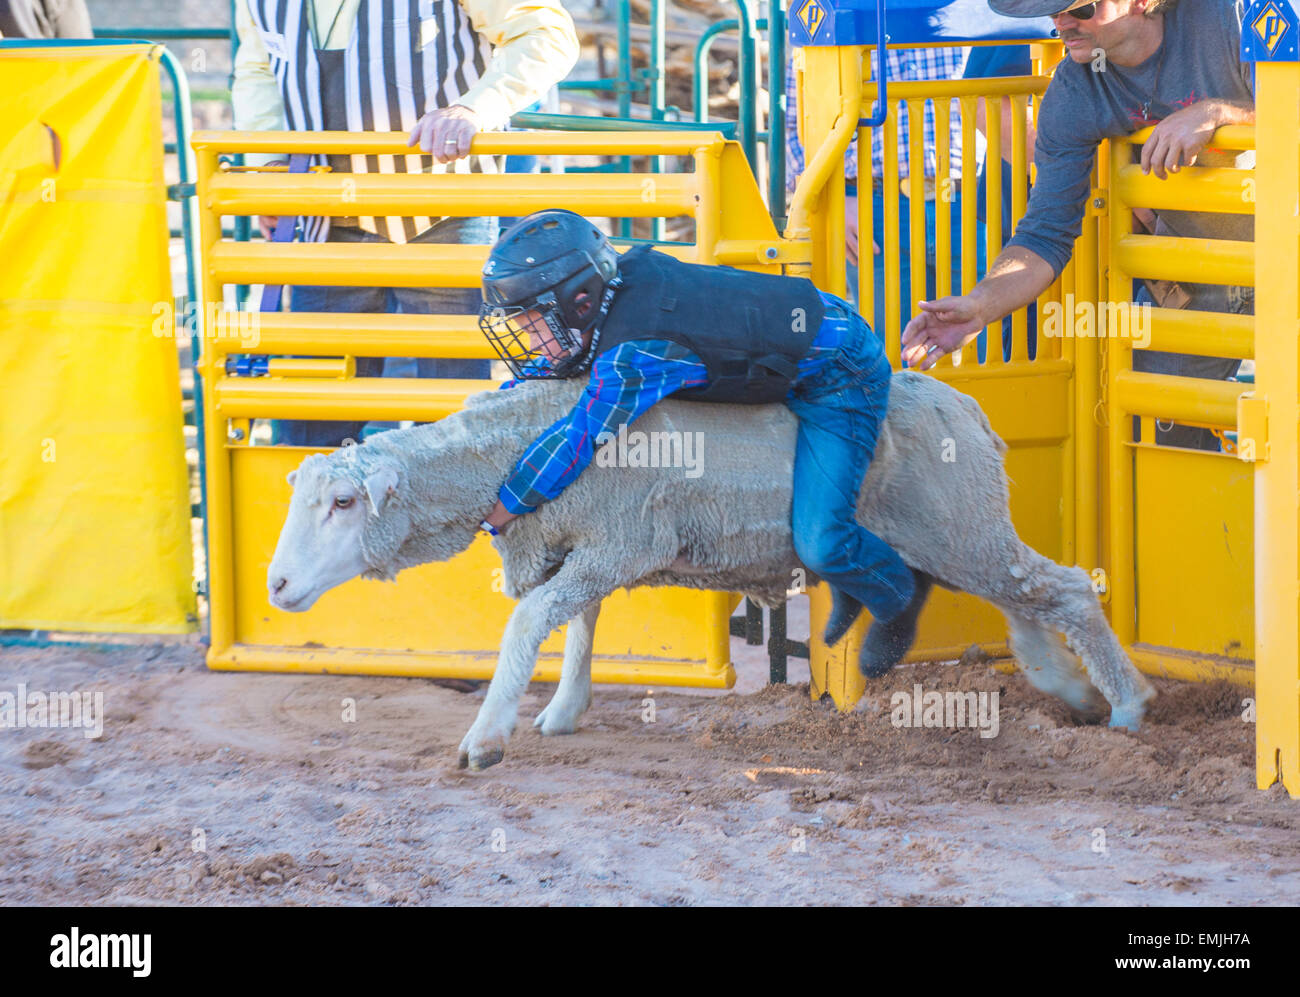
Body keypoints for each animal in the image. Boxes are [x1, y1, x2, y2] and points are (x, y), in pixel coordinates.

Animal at [267, 370, 1155, 770]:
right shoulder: (594, 543)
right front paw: (564, 710)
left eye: (342, 503)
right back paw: (1067, 686)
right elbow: (580, 624)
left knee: (1063, 589)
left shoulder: (619, 539)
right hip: (960, 530)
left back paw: (1125, 705)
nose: (275, 585)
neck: (530, 436)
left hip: (958, 525)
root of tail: (967, 406)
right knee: (1026, 599)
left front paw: (487, 735)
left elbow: (529, 621)